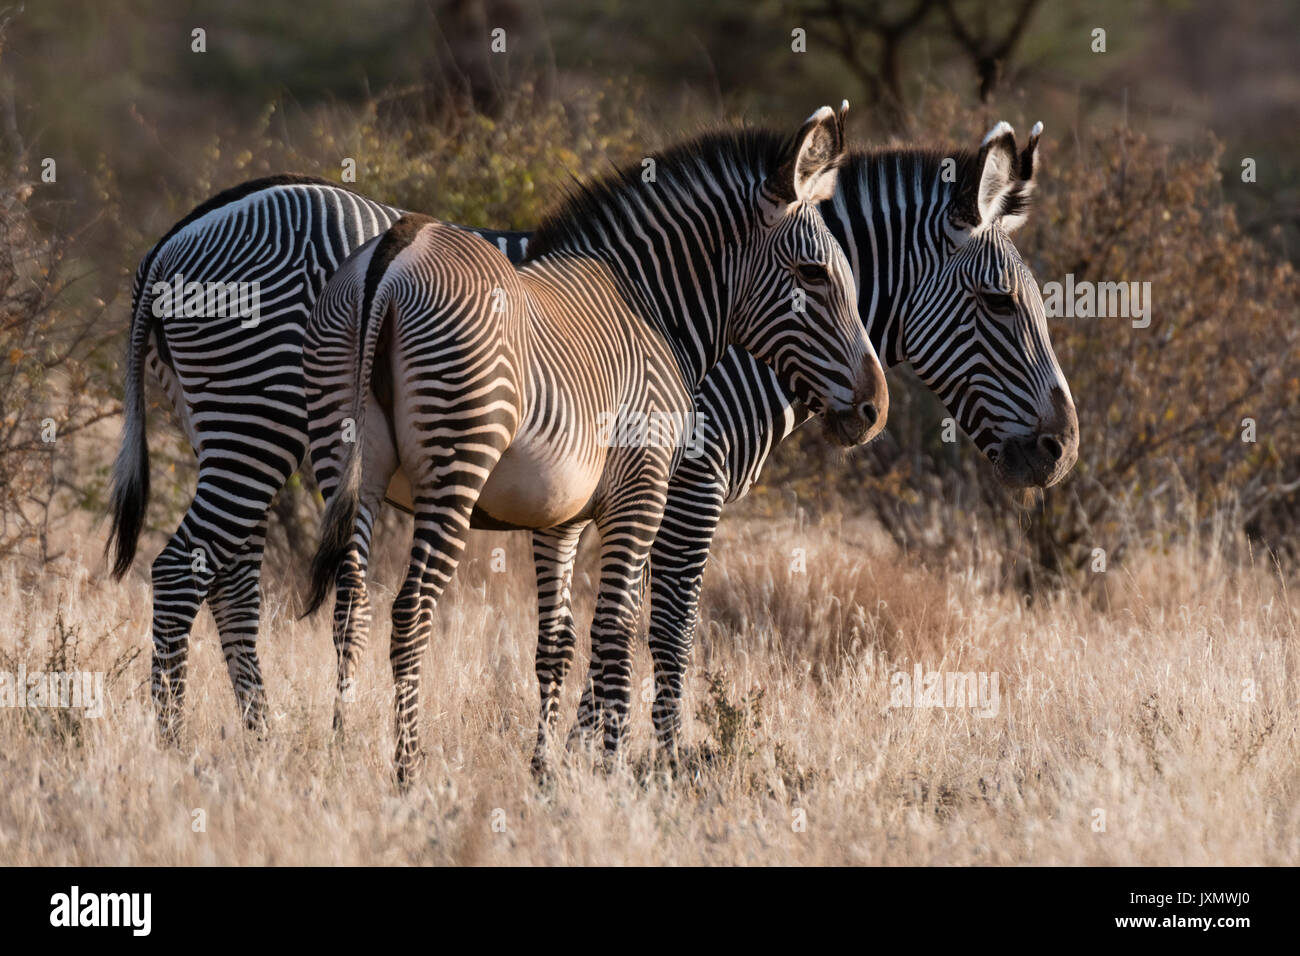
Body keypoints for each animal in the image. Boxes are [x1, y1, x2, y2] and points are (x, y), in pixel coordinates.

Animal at [304, 106, 894, 780]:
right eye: (813, 275)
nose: (874, 410)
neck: (653, 310)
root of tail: (397, 247)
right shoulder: (643, 493)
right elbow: (617, 630)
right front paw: (613, 768)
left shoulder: (557, 516)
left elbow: (556, 643)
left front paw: (546, 770)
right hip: (455, 463)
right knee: (411, 609)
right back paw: (409, 771)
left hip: (348, 460)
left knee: (351, 604)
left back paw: (340, 749)